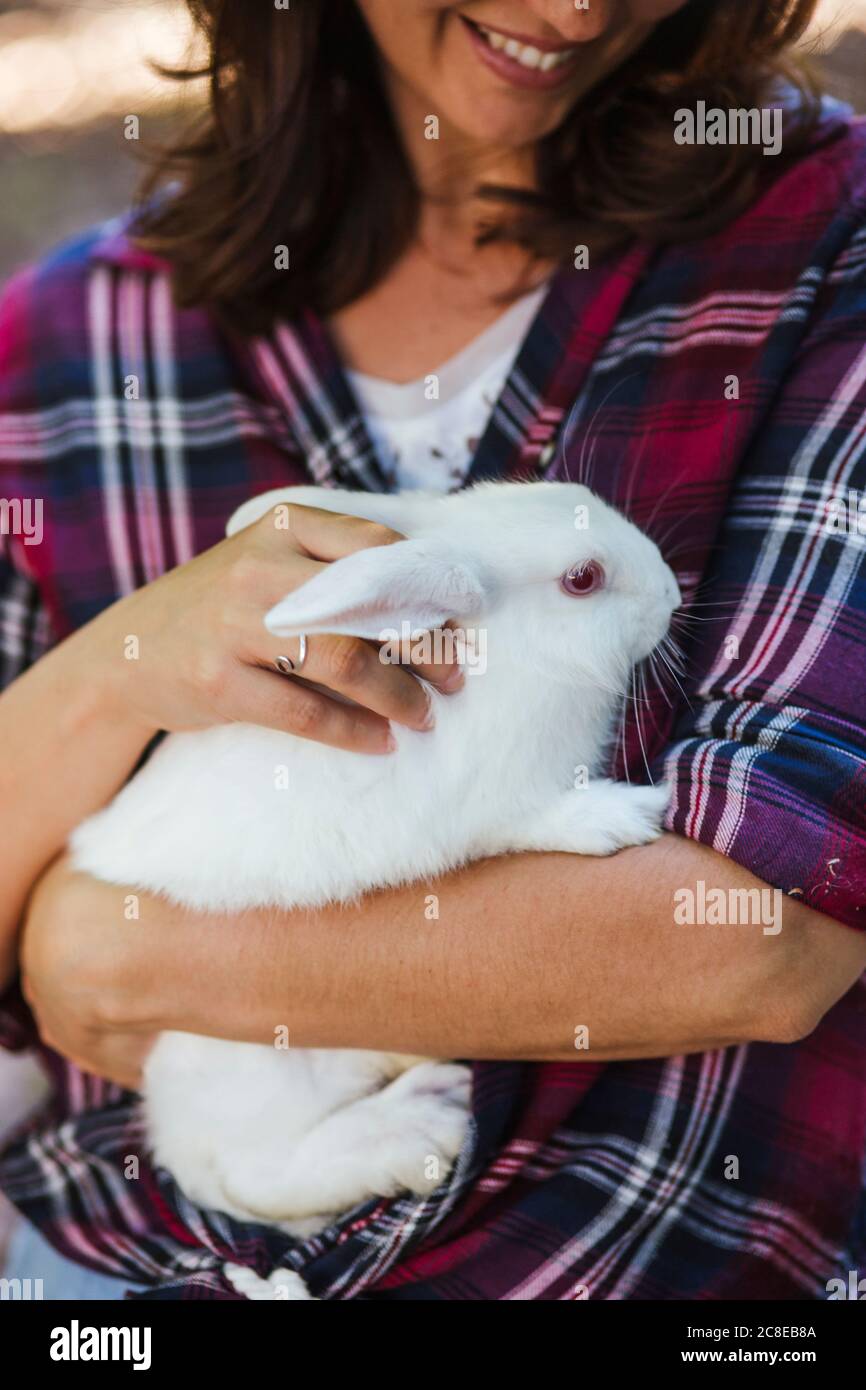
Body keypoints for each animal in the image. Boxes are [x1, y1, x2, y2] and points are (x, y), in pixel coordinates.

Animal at [69, 480, 680, 1258]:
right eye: (582, 579)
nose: (671, 592)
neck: (517, 658)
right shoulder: (506, 803)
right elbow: (546, 820)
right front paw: (625, 816)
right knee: (262, 1172)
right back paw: (423, 1127)